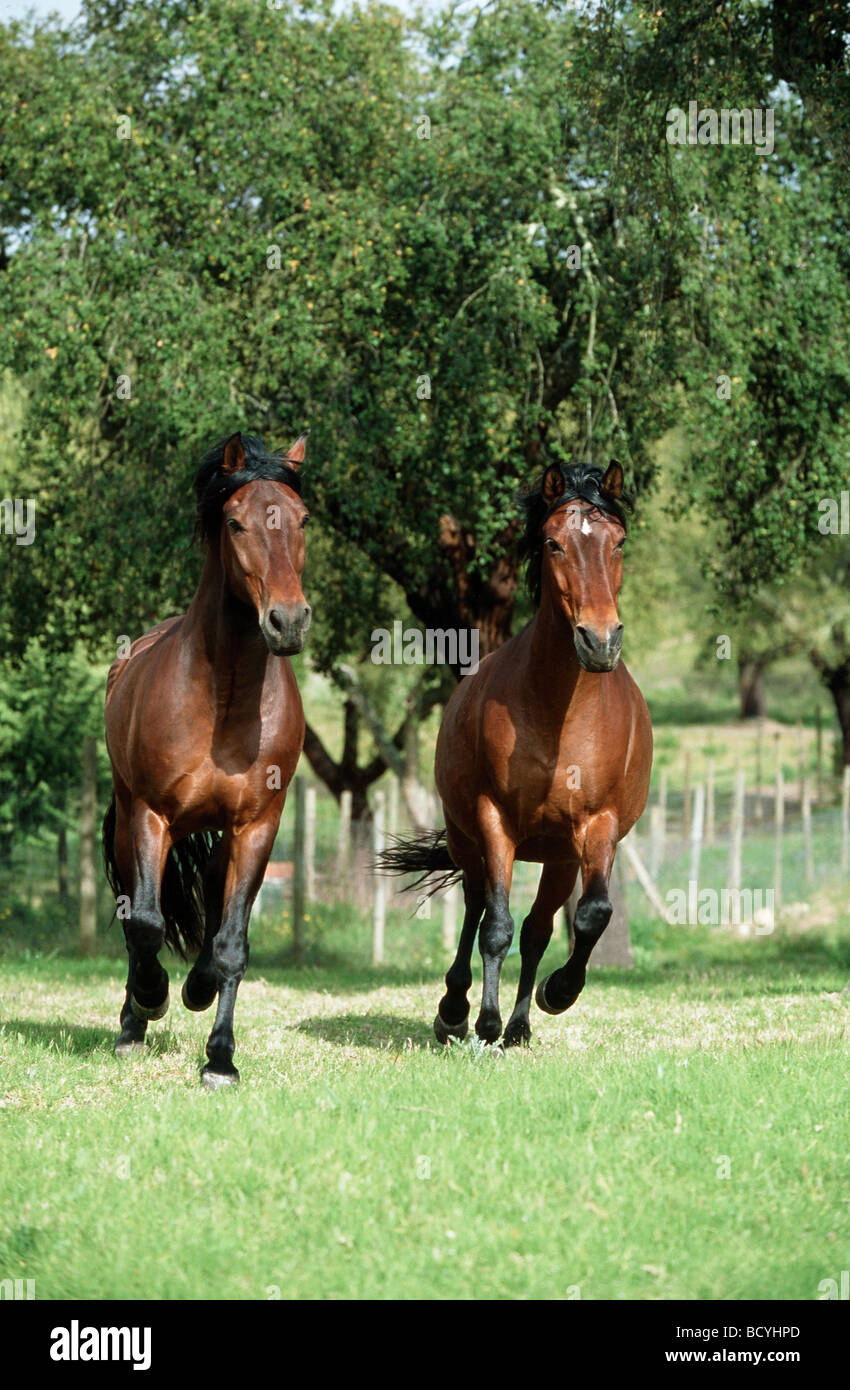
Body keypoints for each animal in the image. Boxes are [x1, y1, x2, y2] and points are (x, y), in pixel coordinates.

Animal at [102, 430, 311, 1088]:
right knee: (135, 917)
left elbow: (231, 943)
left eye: (302, 519)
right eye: (235, 522)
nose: (288, 621)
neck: (223, 699)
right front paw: (152, 998)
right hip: (130, 819)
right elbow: (145, 922)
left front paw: (219, 1056)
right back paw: (133, 1023)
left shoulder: (256, 827)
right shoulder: (152, 815)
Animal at [382, 460, 652, 1047]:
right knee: (477, 908)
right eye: (553, 543)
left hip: (558, 856)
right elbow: (495, 926)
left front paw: (558, 993)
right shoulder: (495, 820)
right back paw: (456, 1010)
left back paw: (521, 1025)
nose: (600, 641)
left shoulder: (597, 826)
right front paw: (481, 1020)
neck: (560, 713)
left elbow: (591, 914)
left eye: (619, 543)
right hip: (468, 839)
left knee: (538, 929)